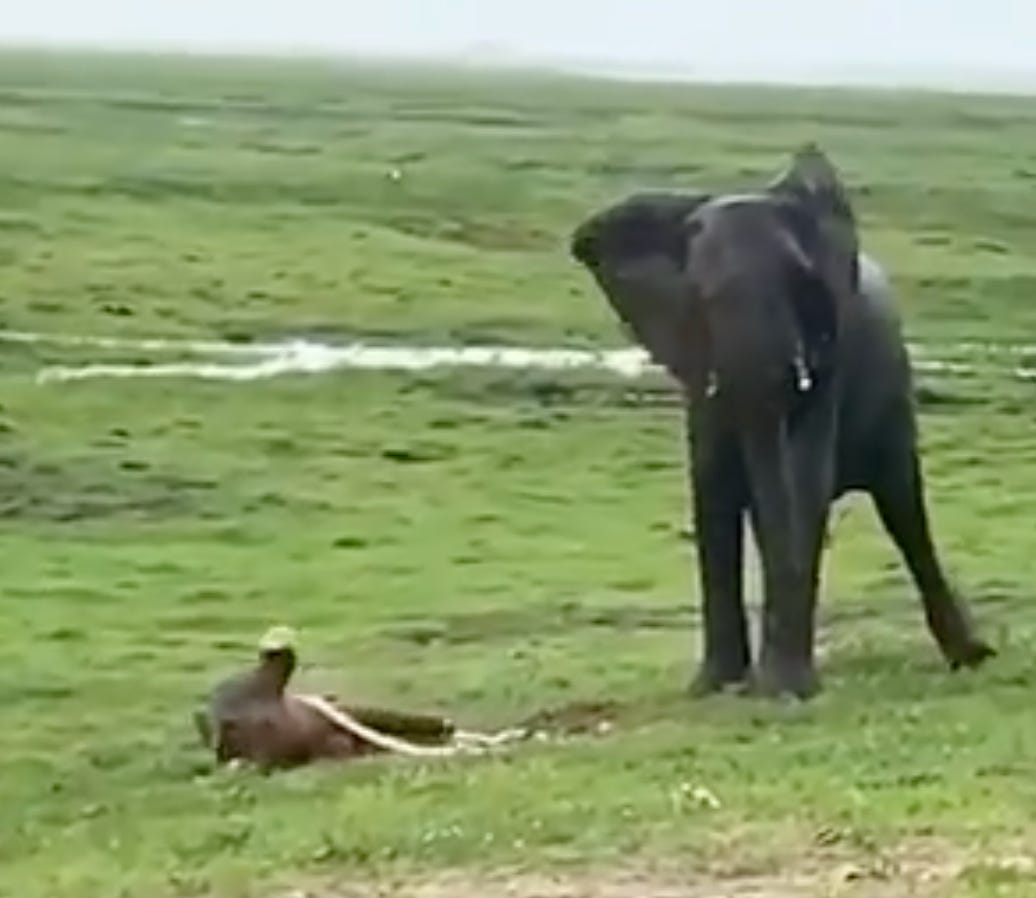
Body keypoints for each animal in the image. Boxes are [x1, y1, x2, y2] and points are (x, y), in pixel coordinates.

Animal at [569, 145, 994, 699]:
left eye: (801, 287)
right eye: (702, 298)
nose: (768, 687)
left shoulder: (831, 355)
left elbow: (804, 479)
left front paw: (785, 691)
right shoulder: (699, 367)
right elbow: (713, 489)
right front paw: (713, 688)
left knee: (904, 508)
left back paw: (972, 657)